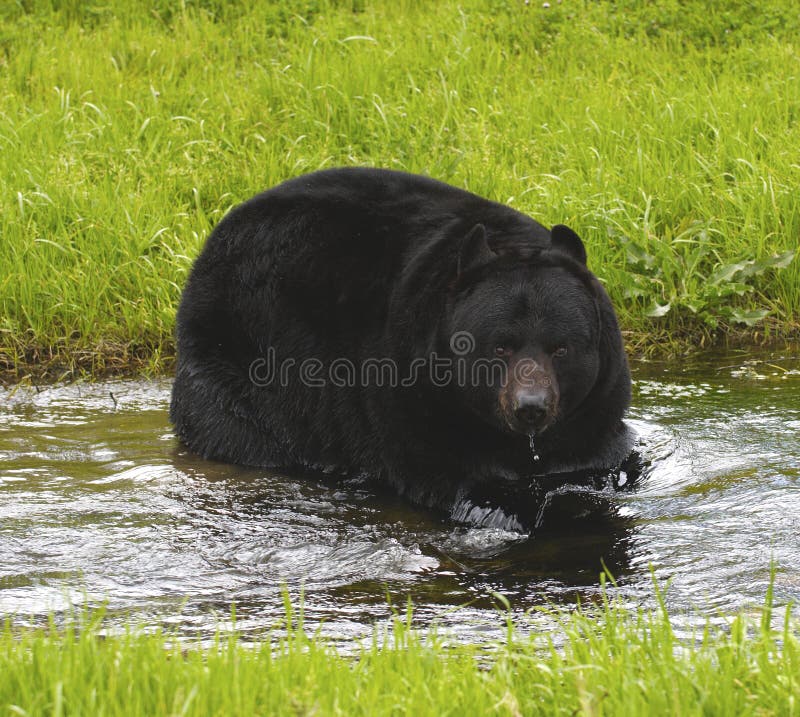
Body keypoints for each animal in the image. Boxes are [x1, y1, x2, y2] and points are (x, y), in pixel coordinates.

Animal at [170, 167, 636, 526]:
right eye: (501, 347)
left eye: (560, 348)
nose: (531, 407)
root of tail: (210, 244)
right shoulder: (412, 392)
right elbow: (441, 470)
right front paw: (503, 504)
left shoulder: (595, 404)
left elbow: (599, 458)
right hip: (239, 360)